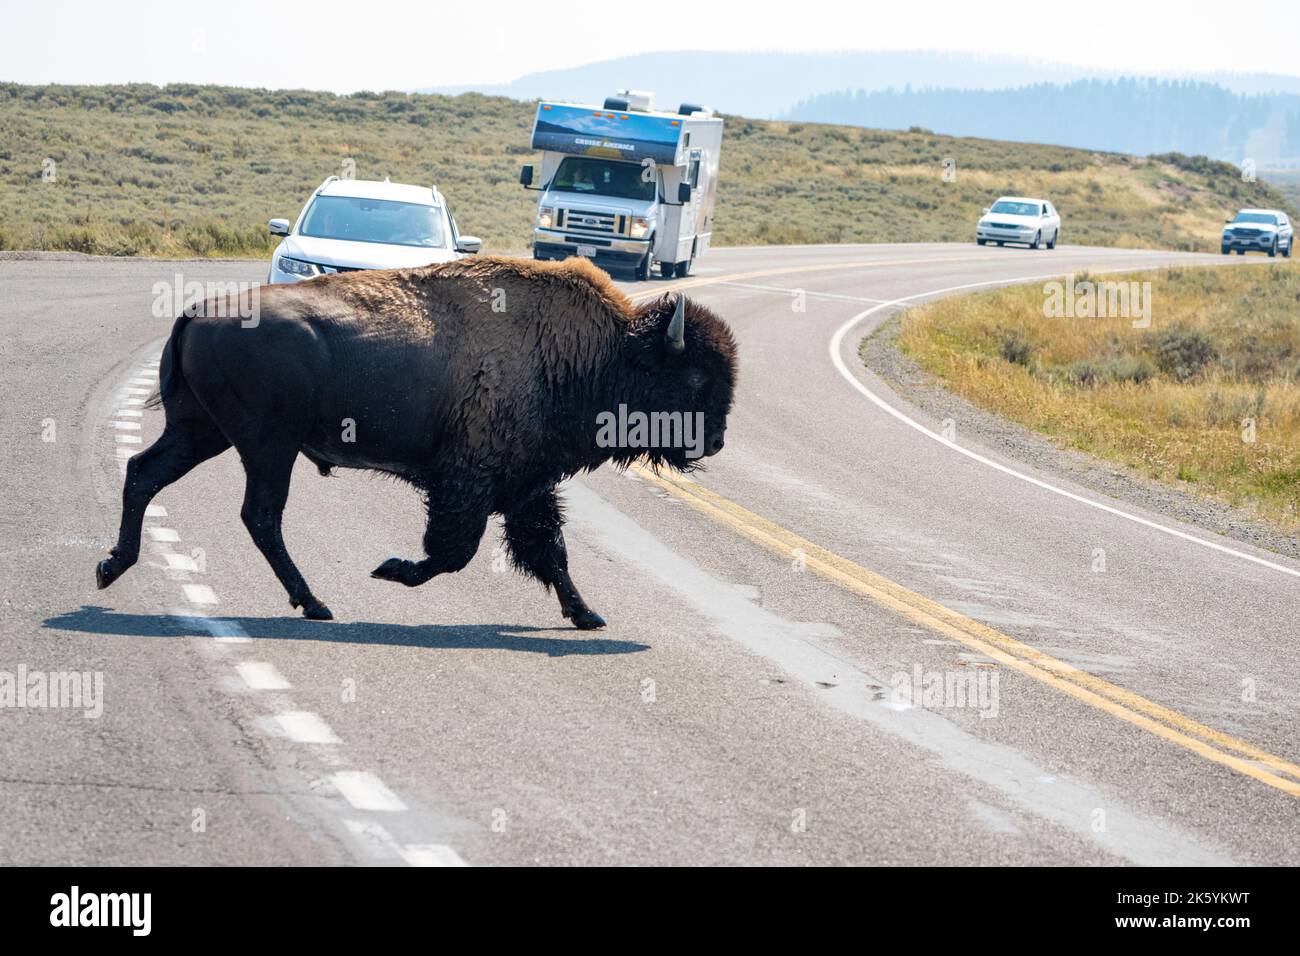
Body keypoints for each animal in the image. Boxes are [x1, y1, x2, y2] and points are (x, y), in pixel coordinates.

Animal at [96, 256, 737, 628]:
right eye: (695, 377)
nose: (714, 442)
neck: (597, 354)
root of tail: (196, 310)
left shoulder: (525, 486)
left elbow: (549, 549)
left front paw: (587, 615)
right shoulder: (470, 483)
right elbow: (455, 552)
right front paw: (391, 569)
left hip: (202, 434)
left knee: (143, 473)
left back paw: (111, 566)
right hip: (265, 447)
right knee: (260, 515)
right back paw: (315, 603)